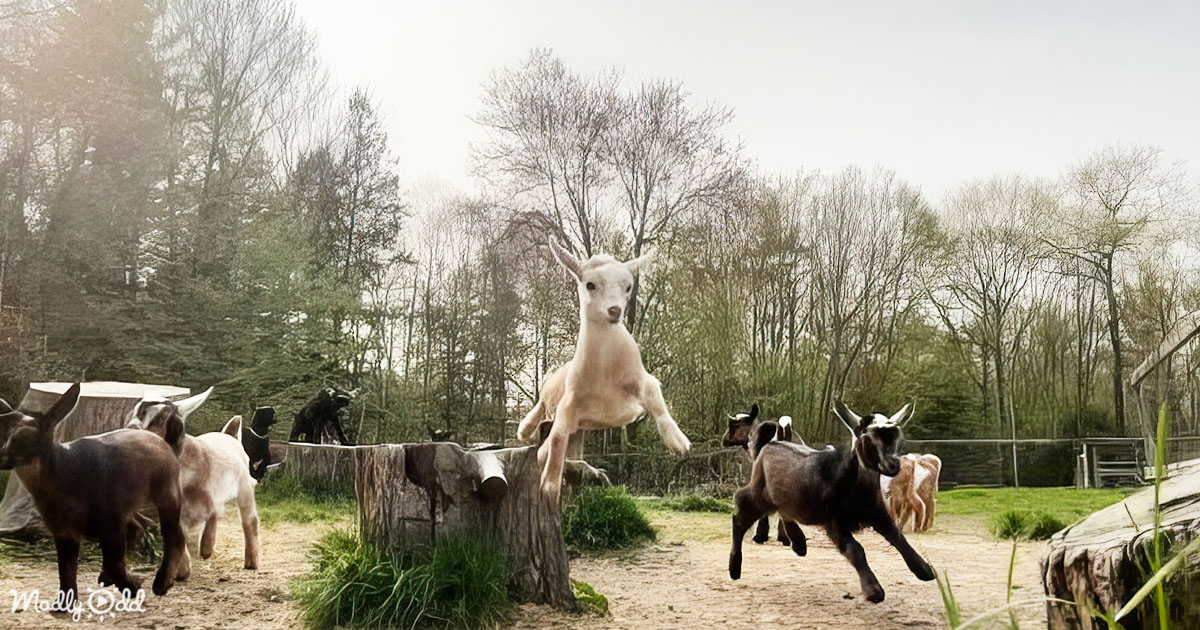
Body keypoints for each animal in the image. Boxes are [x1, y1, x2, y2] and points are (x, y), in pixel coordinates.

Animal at [0, 384, 186, 600]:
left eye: (24, 439)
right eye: (5, 434)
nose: (2, 458)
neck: (61, 476)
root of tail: (163, 442)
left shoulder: (111, 521)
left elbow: (114, 561)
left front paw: (132, 586)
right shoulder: (64, 529)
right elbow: (66, 570)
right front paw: (63, 603)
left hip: (167, 492)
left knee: (173, 534)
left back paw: (161, 583)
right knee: (139, 528)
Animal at [128, 395, 260, 573]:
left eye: (161, 418)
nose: (131, 430)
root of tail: (229, 436)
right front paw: (182, 570)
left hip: (244, 486)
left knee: (250, 521)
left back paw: (250, 562)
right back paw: (206, 550)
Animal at [516, 238, 691, 501]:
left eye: (628, 287)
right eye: (590, 284)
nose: (615, 310)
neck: (605, 369)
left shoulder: (644, 380)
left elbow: (656, 400)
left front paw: (678, 441)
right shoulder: (569, 403)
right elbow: (556, 438)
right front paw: (549, 484)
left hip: (578, 427)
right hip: (551, 399)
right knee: (541, 414)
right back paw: (525, 430)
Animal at [729, 401, 935, 603]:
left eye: (898, 438)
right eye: (867, 437)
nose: (892, 465)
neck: (846, 479)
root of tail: (771, 444)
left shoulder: (877, 513)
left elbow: (897, 537)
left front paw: (924, 570)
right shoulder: (833, 521)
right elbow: (855, 549)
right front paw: (873, 590)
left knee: (784, 510)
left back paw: (799, 543)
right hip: (759, 493)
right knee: (740, 513)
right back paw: (734, 567)